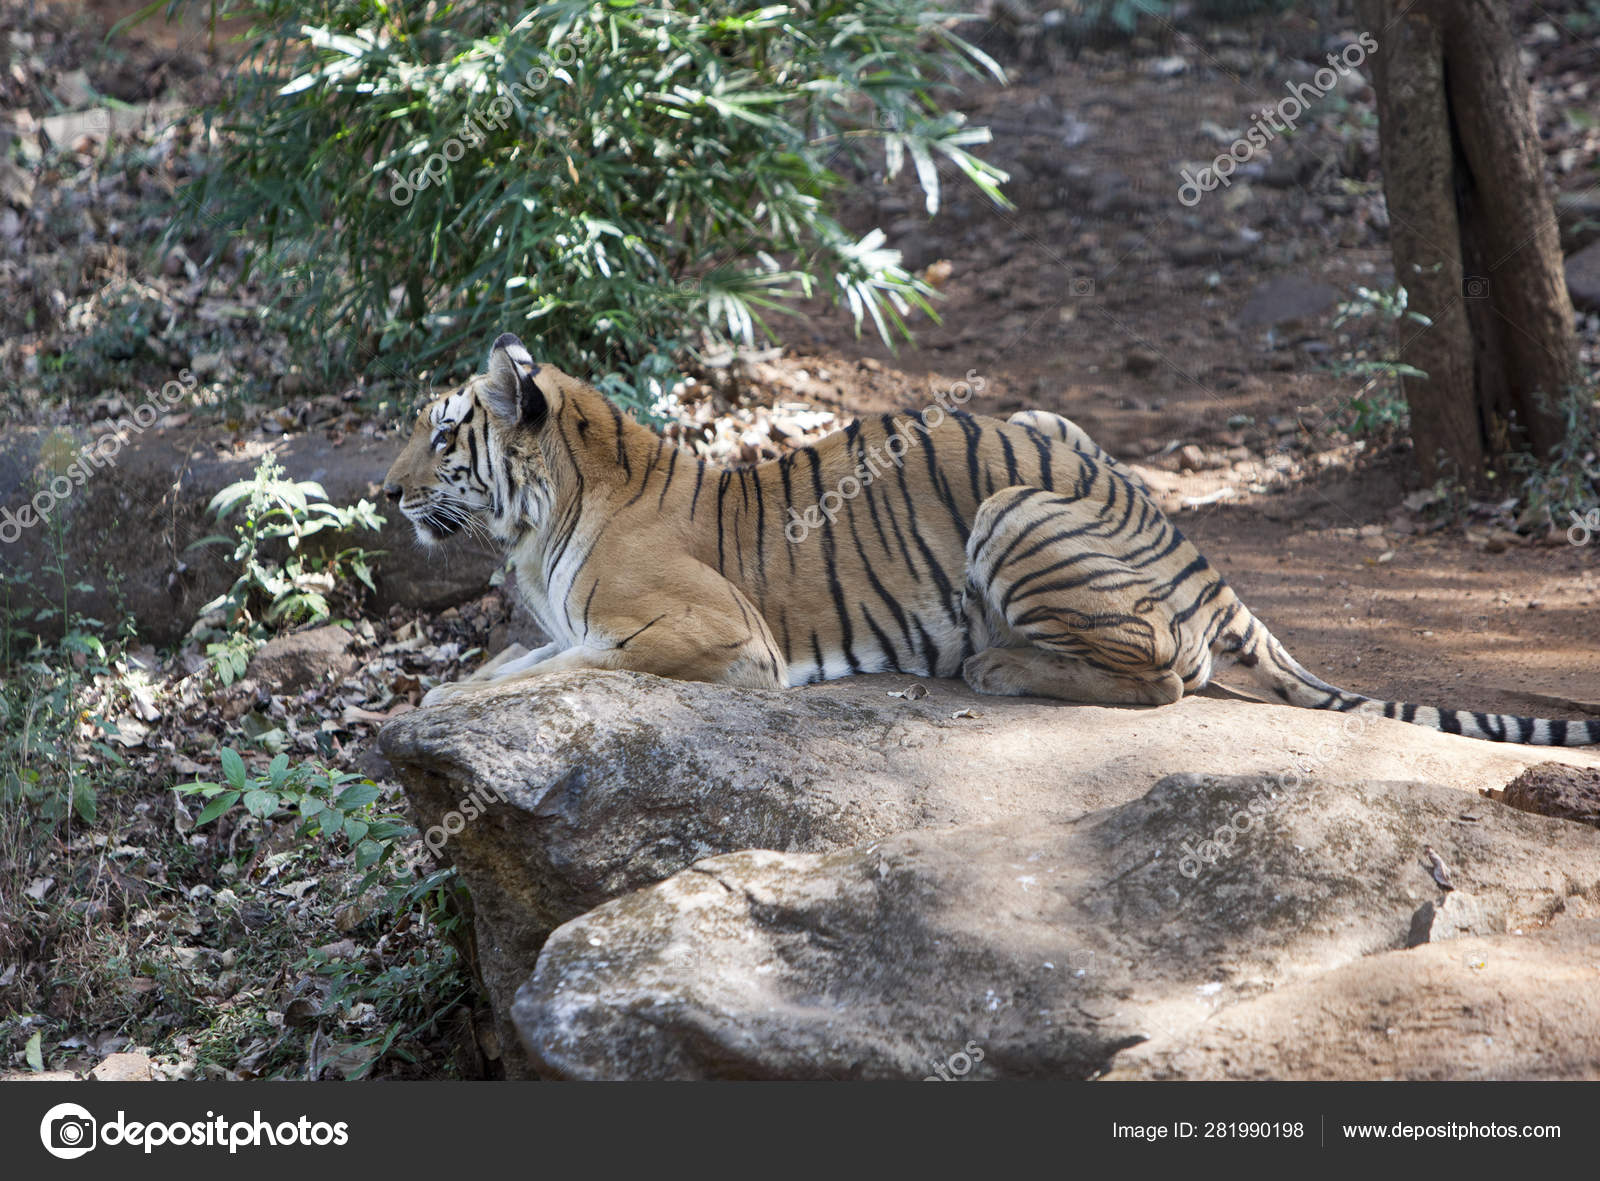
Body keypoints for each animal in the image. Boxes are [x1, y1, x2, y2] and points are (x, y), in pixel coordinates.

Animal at [381, 332, 1600, 746]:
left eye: (440, 431)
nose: (386, 496)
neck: (545, 514)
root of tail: (1199, 556)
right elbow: (524, 651)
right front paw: (453, 687)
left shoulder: (720, 634)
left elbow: (560, 665)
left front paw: (443, 702)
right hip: (1053, 424)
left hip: (1016, 509)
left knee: (1170, 668)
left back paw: (997, 664)